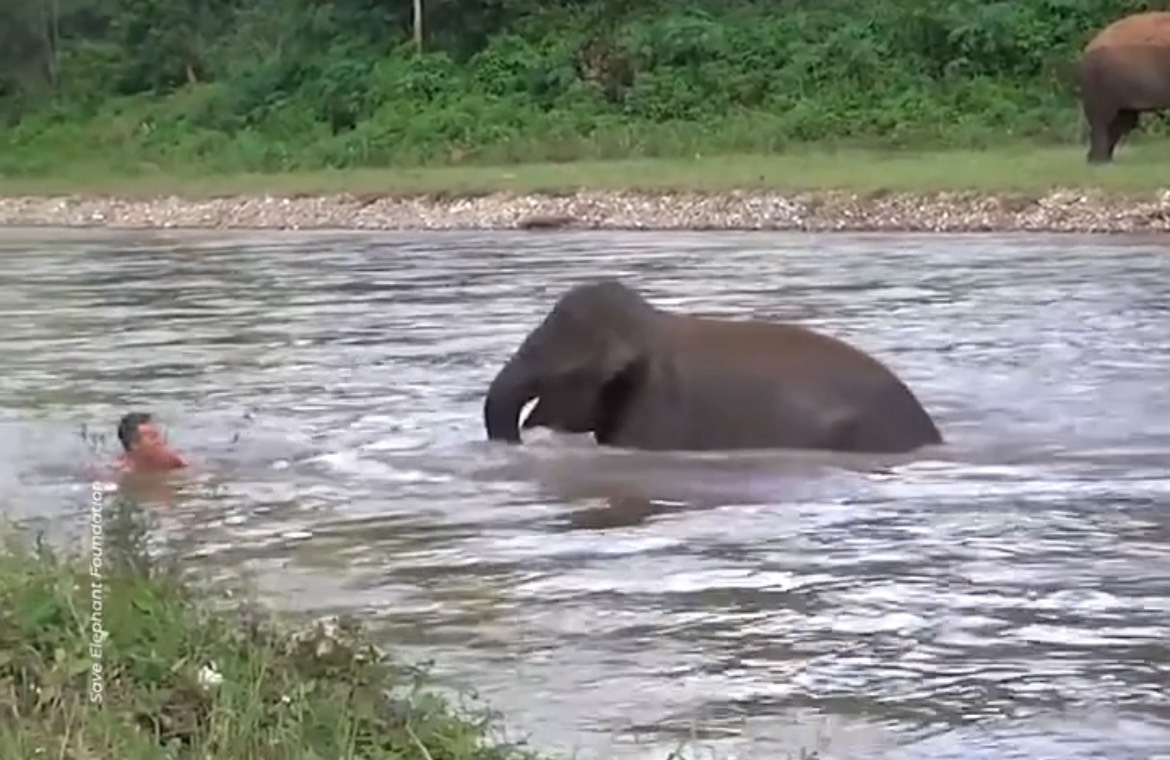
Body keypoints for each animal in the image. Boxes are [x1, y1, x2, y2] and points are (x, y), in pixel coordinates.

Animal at [1077, 11, 1170, 164]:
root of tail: (1087, 48)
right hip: (1099, 81)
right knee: (1102, 119)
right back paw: (1099, 162)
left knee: (1122, 120)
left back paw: (1102, 160)